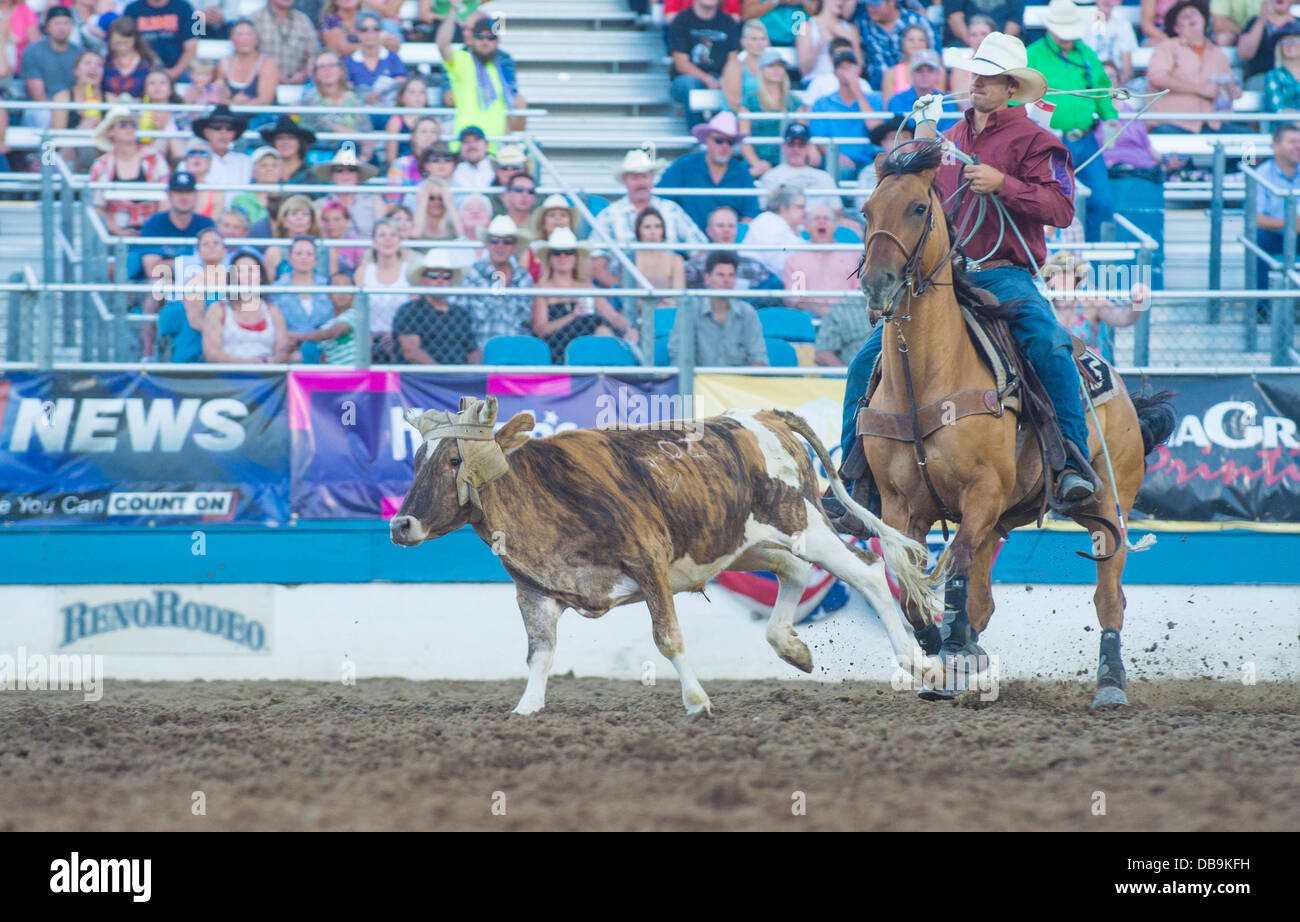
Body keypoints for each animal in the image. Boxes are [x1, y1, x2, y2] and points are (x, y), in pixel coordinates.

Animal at [389, 396, 944, 716]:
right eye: (416, 460)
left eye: (455, 459)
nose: (400, 525)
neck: (548, 492)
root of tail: (763, 416)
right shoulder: (534, 591)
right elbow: (540, 653)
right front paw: (526, 709)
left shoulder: (649, 562)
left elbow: (668, 638)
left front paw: (696, 701)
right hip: (743, 544)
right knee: (793, 571)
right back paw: (791, 646)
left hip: (802, 523)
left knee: (867, 572)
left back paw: (917, 663)